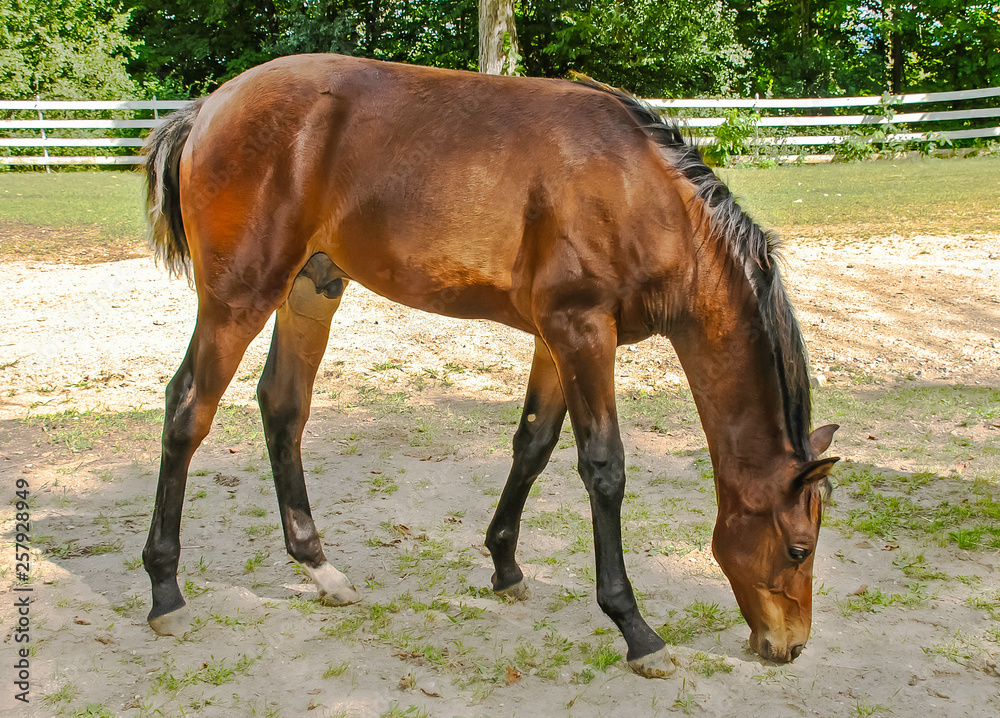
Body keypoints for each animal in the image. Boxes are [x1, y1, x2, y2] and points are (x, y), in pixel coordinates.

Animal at [142, 53, 839, 678]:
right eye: (798, 547)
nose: (790, 647)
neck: (643, 195)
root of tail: (208, 108)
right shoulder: (583, 332)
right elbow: (604, 469)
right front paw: (635, 628)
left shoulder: (556, 340)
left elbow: (533, 444)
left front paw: (505, 566)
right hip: (239, 299)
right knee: (187, 409)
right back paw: (165, 590)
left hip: (310, 289)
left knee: (283, 408)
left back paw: (320, 569)